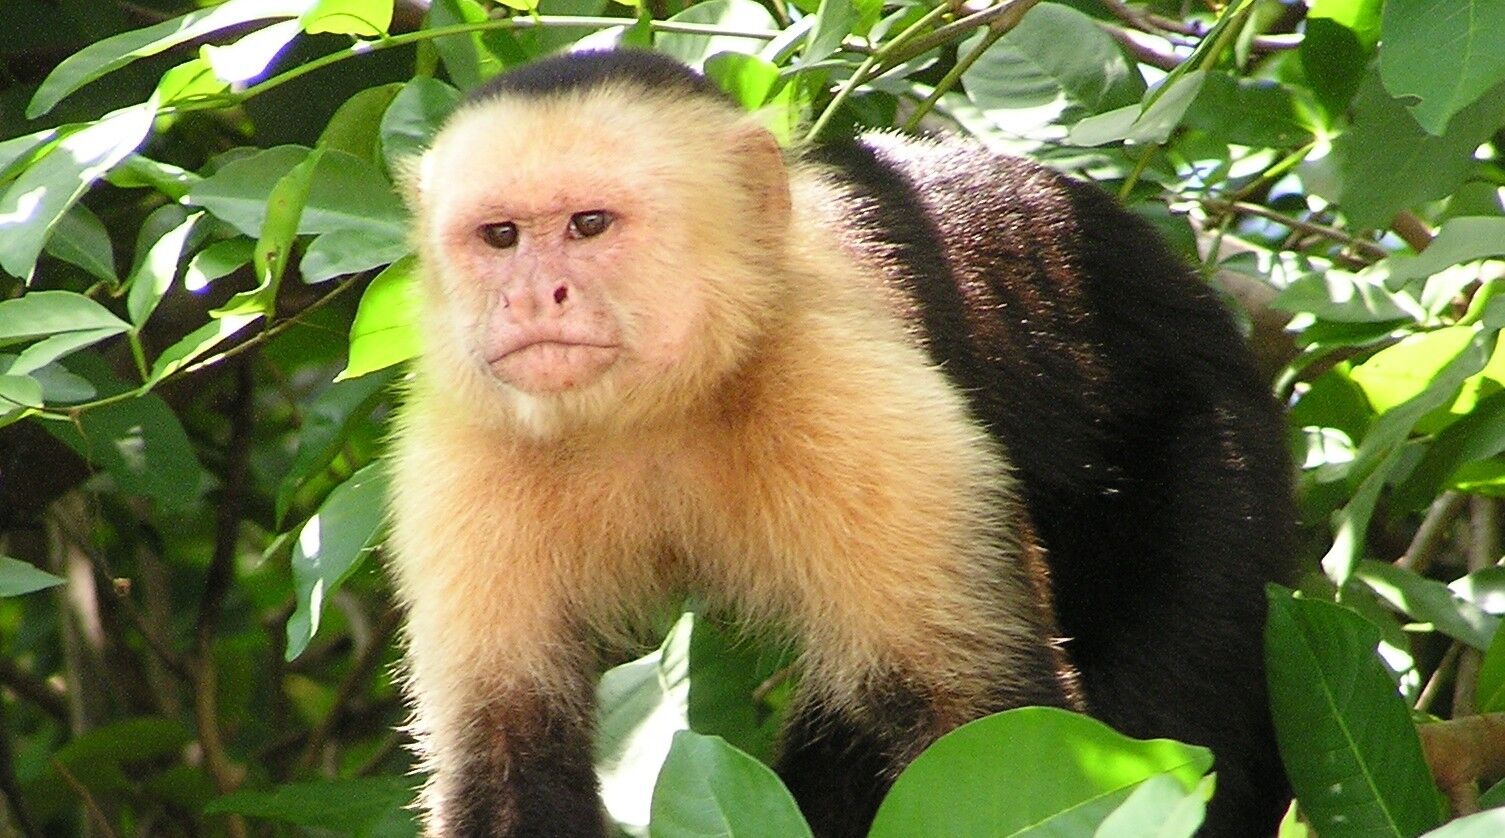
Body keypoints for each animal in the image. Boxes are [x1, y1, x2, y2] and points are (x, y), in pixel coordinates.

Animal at [387, 48, 1295, 838]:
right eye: (500, 237)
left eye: (588, 224)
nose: (531, 297)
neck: (653, 414)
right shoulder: (461, 452)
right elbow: (506, 755)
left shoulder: (849, 396)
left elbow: (983, 717)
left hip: (1209, 439)